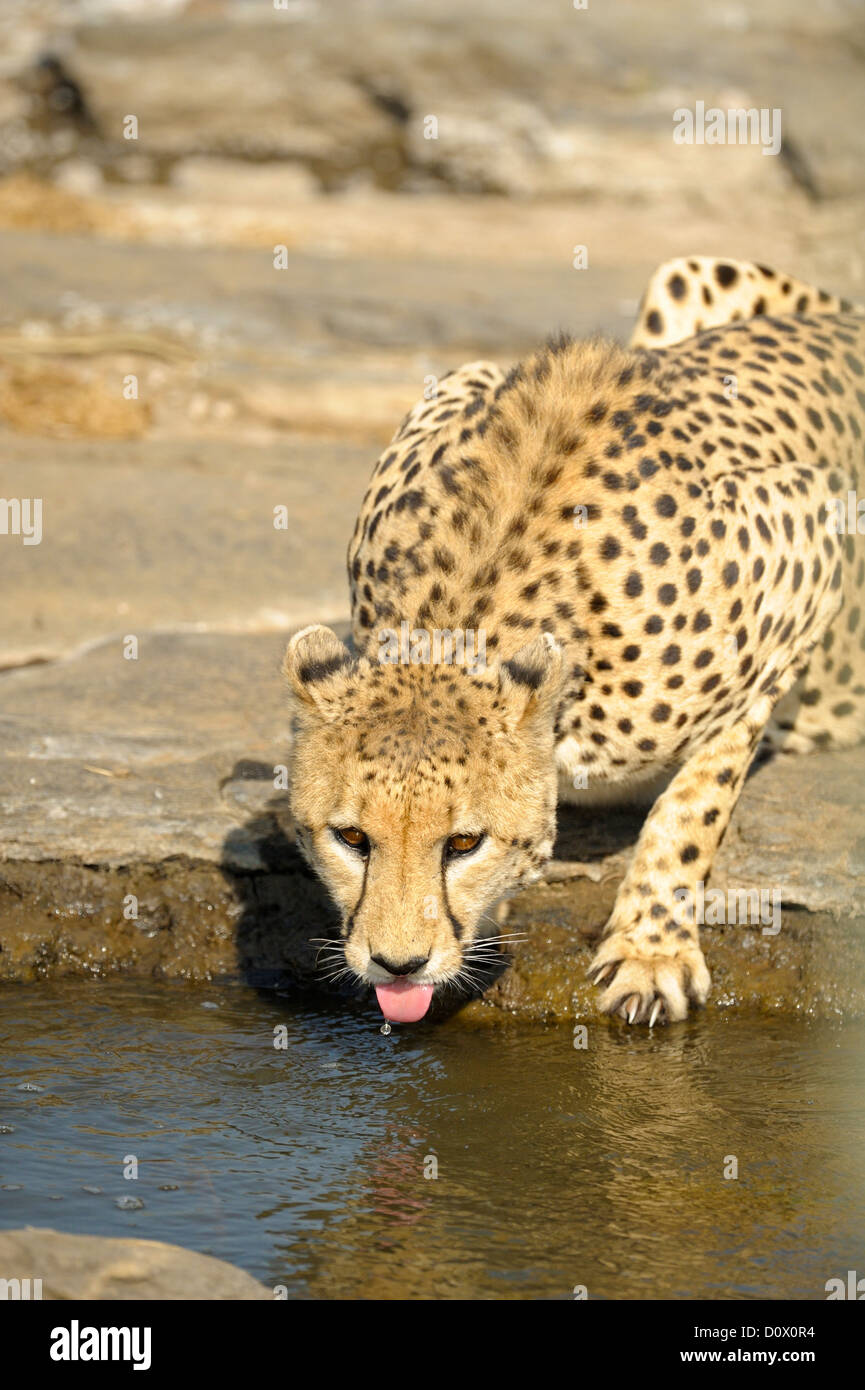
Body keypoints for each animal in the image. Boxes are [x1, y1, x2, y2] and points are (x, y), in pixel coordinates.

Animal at [283, 255, 865, 1027]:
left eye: (463, 843)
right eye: (351, 838)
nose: (397, 965)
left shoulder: (814, 537)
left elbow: (697, 799)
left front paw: (651, 949)